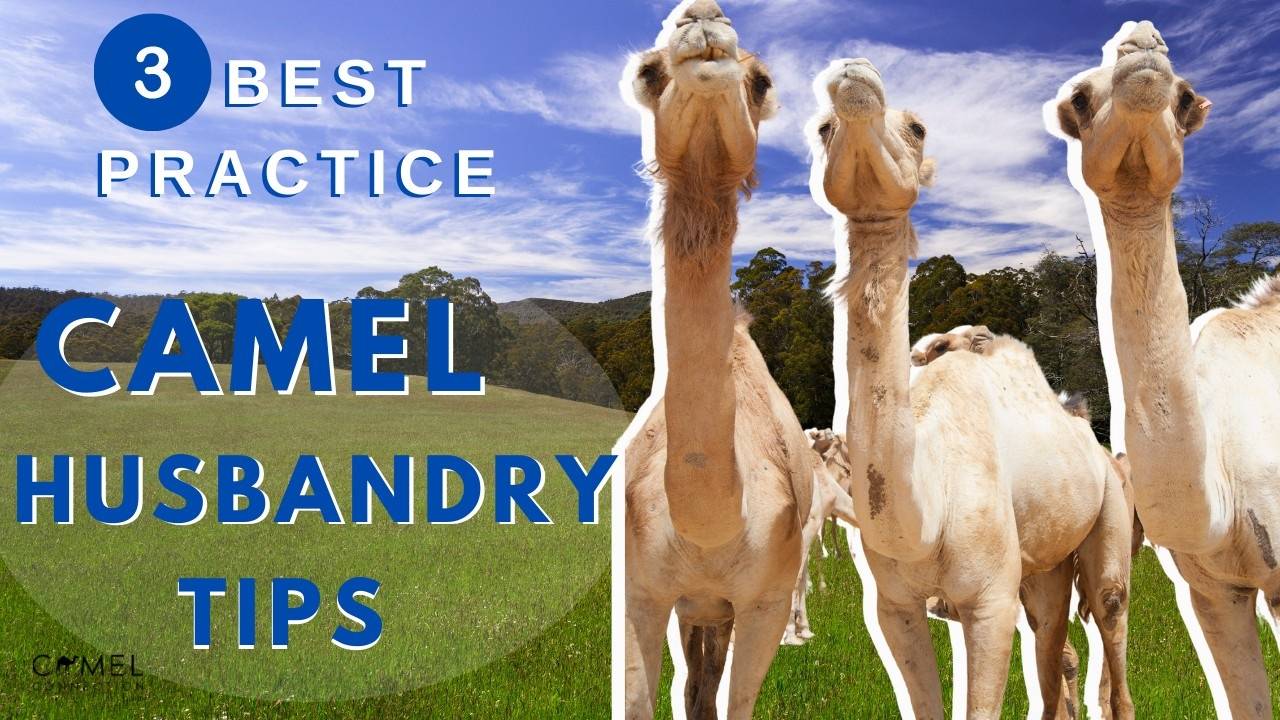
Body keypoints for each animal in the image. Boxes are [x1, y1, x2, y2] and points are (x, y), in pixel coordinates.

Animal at [620, 2, 813, 718]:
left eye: (761, 82)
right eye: (649, 73)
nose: (700, 18)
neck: (708, 530)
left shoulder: (766, 601)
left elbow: (738, 700)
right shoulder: (643, 593)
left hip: (722, 608)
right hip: (692, 606)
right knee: (695, 679)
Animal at [808, 58, 1135, 718]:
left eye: (918, 128)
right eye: (823, 128)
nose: (852, 76)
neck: (926, 505)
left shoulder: (988, 603)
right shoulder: (894, 607)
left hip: (1109, 513)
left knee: (1109, 619)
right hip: (1043, 565)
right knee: (1053, 645)